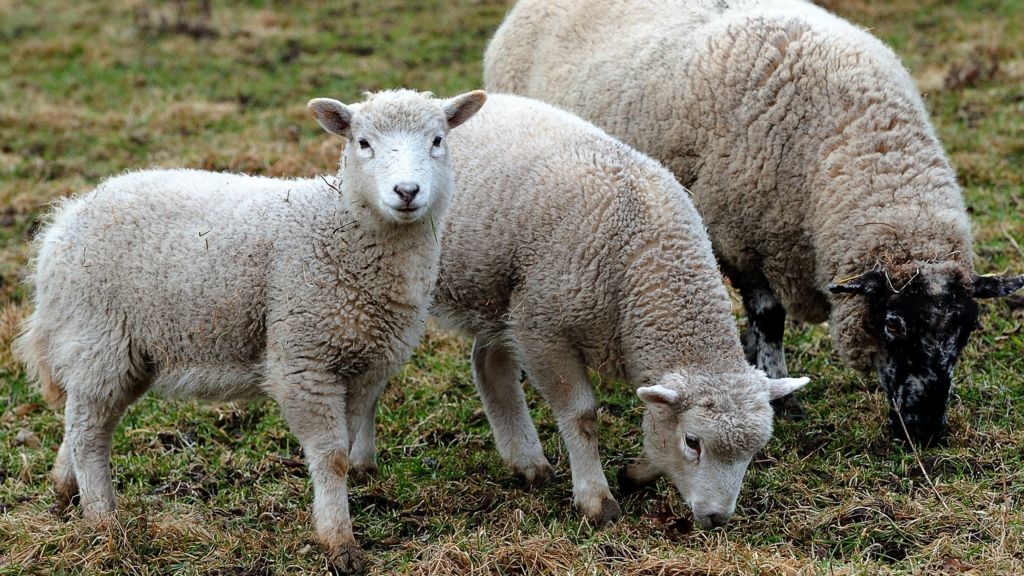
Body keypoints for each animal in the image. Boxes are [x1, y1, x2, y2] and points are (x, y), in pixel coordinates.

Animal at [15, 88, 487, 575]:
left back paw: (64, 490)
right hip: (100, 336)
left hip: (126, 351)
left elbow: (351, 444)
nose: (407, 192)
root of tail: (62, 222)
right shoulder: (303, 360)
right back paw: (104, 521)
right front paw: (339, 542)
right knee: (88, 432)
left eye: (437, 140)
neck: (341, 230)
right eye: (363, 143)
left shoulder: (366, 367)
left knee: (81, 422)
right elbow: (332, 456)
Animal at [346, 93, 809, 528]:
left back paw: (526, 461)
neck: (645, 259)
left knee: (489, 364)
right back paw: (360, 460)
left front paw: (636, 473)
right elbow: (583, 416)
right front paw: (596, 499)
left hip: (504, 295)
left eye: (755, 451)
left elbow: (653, 423)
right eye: (693, 442)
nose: (717, 518)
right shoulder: (543, 329)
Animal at [483, 0, 1024, 446]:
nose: (925, 430)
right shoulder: (741, 237)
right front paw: (782, 395)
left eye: (969, 328)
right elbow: (769, 318)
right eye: (892, 324)